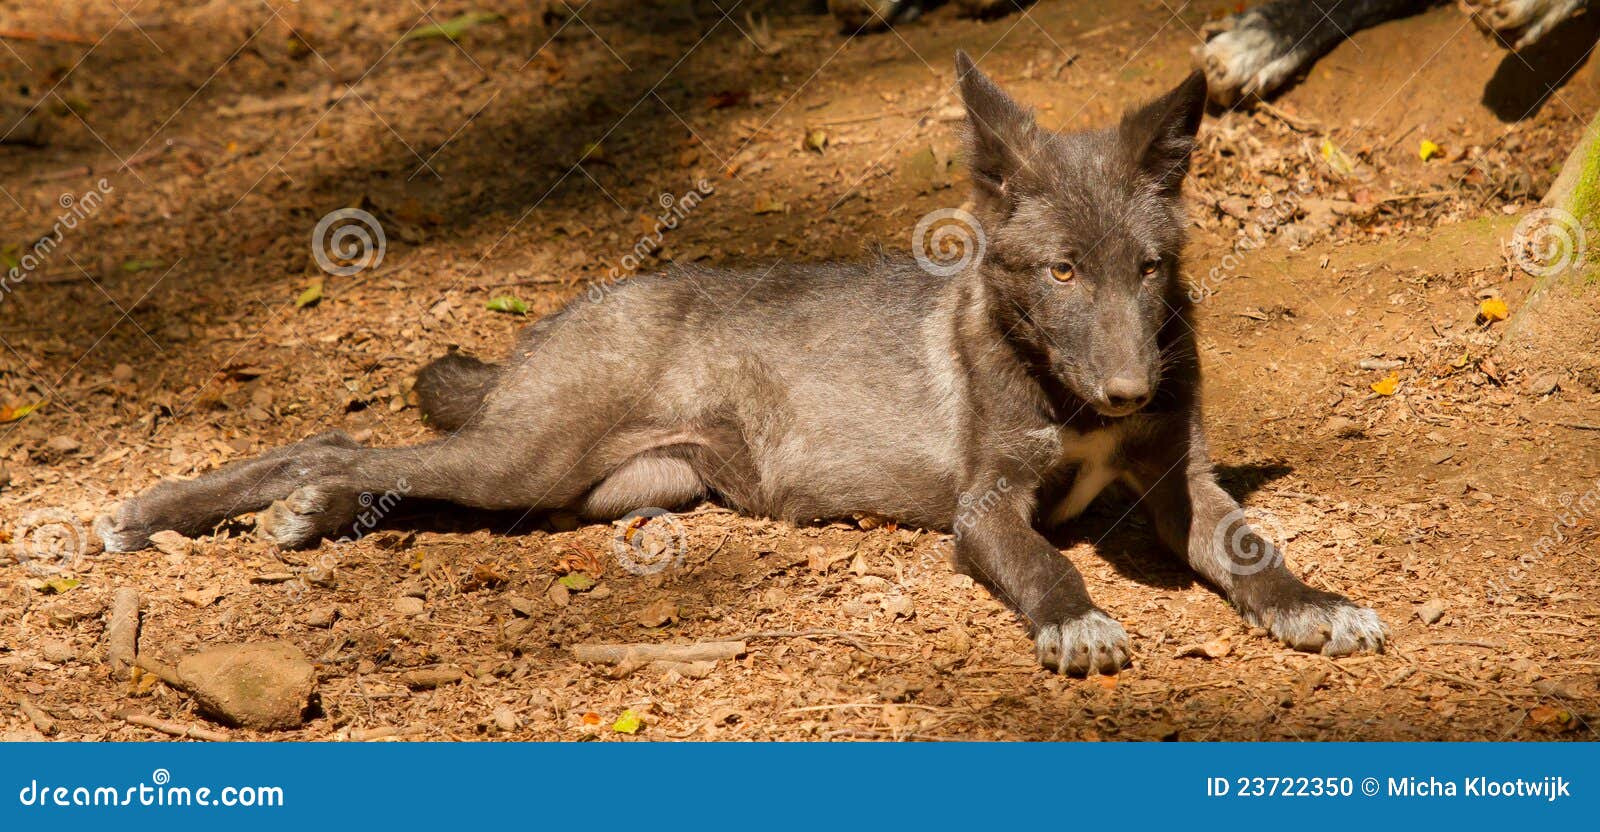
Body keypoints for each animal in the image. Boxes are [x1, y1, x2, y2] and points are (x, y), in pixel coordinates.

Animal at [95, 52, 1386, 675]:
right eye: (1060, 271)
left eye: (1147, 271)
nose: (1127, 390)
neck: (1065, 394)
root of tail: (573, 306)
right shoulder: (985, 508)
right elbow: (1045, 566)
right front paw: (1075, 622)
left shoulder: (1182, 482)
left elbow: (1250, 548)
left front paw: (1310, 602)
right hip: (529, 453)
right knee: (334, 437)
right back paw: (177, 509)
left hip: (593, 490)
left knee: (388, 469)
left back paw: (313, 512)